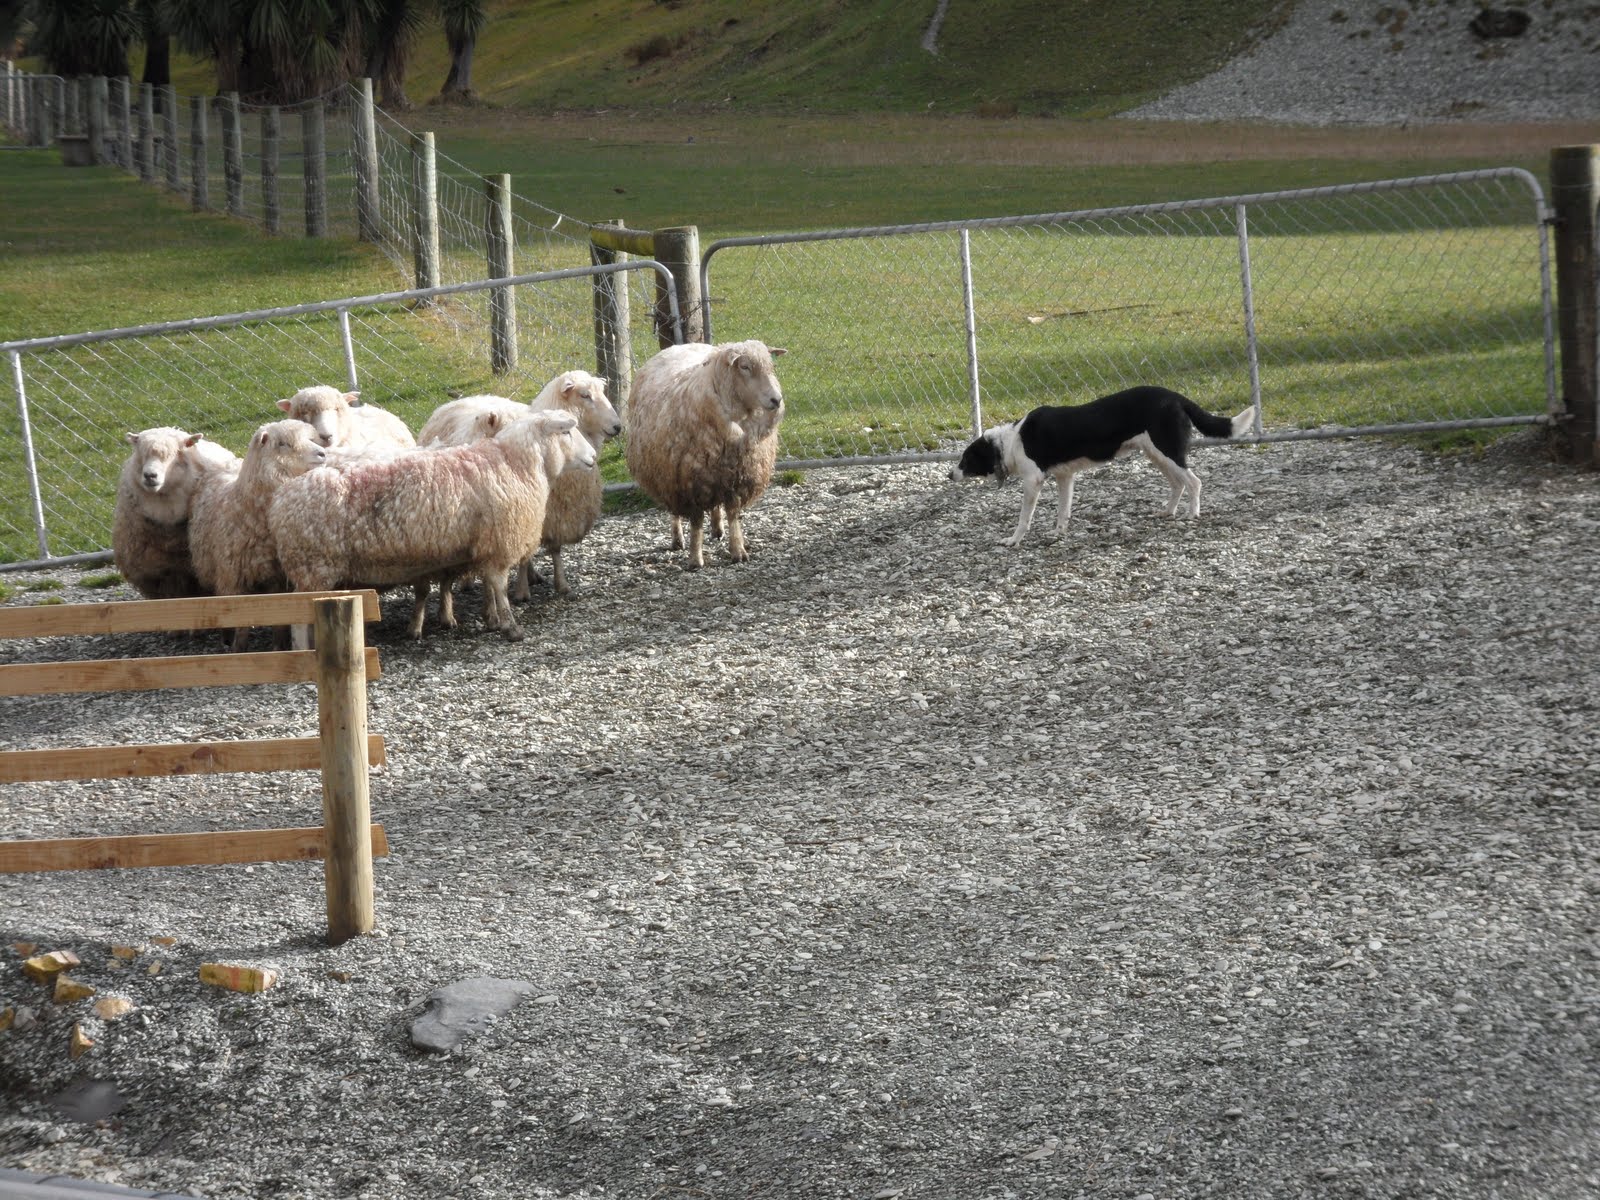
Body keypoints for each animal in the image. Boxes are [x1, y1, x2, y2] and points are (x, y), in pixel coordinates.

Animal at [187, 419, 328, 651]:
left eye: (310, 438)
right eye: (282, 444)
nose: (322, 453)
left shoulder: (276, 578)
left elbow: (279, 622)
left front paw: (279, 646)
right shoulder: (234, 579)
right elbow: (240, 623)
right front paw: (239, 649)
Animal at [268, 411, 597, 644]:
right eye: (567, 431)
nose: (593, 457)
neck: (516, 463)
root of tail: (281, 500)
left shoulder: (485, 544)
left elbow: (489, 585)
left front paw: (491, 619)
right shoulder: (499, 542)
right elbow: (499, 586)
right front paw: (510, 626)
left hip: (310, 569)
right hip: (314, 566)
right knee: (299, 619)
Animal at [624, 339, 787, 570]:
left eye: (771, 366)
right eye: (744, 367)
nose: (776, 400)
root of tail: (679, 345)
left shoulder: (737, 474)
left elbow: (733, 514)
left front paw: (738, 550)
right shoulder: (689, 480)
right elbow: (696, 520)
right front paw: (695, 558)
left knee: (716, 507)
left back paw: (717, 528)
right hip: (667, 472)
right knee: (675, 511)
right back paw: (677, 539)